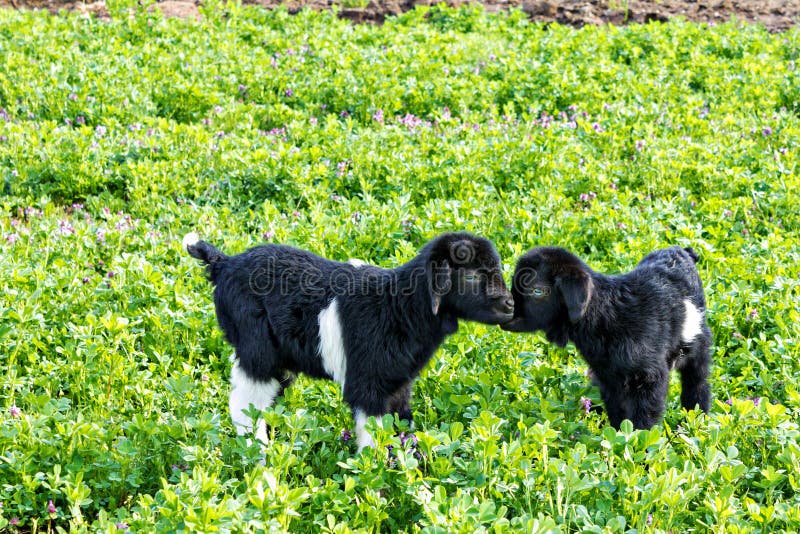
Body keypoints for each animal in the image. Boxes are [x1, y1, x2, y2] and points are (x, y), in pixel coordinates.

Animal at [184, 231, 514, 450]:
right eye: (471, 276)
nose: (510, 305)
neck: (396, 306)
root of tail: (223, 263)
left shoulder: (397, 384)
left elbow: (402, 425)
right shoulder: (368, 384)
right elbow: (373, 439)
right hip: (257, 350)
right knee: (245, 403)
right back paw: (260, 457)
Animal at [502, 246, 712, 430]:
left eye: (537, 291)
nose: (505, 313)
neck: (607, 315)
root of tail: (682, 251)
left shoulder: (650, 377)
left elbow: (644, 416)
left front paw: (639, 444)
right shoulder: (608, 378)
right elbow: (617, 413)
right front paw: (619, 437)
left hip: (697, 346)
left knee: (697, 384)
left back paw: (694, 422)